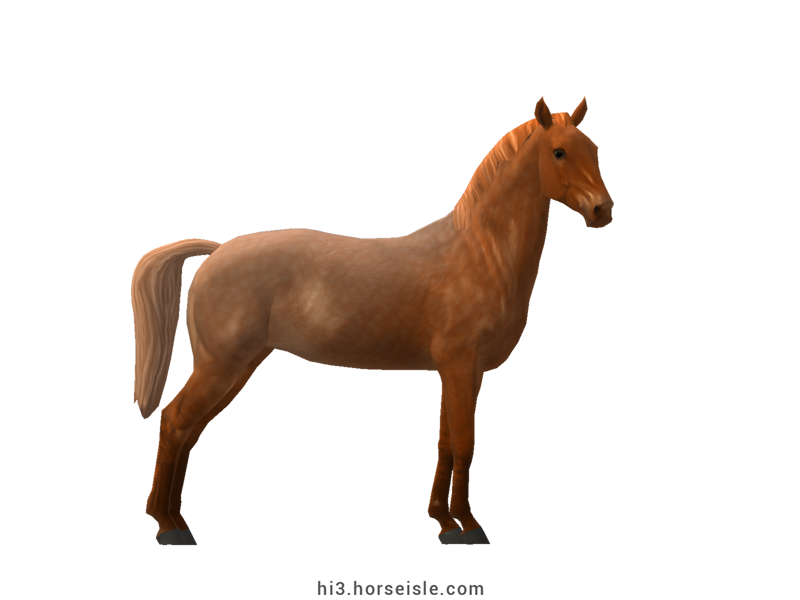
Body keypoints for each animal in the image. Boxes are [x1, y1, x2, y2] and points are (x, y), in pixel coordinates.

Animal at [135, 96, 613, 543]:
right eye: (559, 152)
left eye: (592, 147)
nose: (601, 209)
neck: (483, 252)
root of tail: (211, 255)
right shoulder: (460, 363)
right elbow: (465, 441)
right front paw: (469, 524)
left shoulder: (456, 368)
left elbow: (446, 443)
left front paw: (441, 518)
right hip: (219, 366)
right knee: (174, 422)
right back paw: (165, 523)